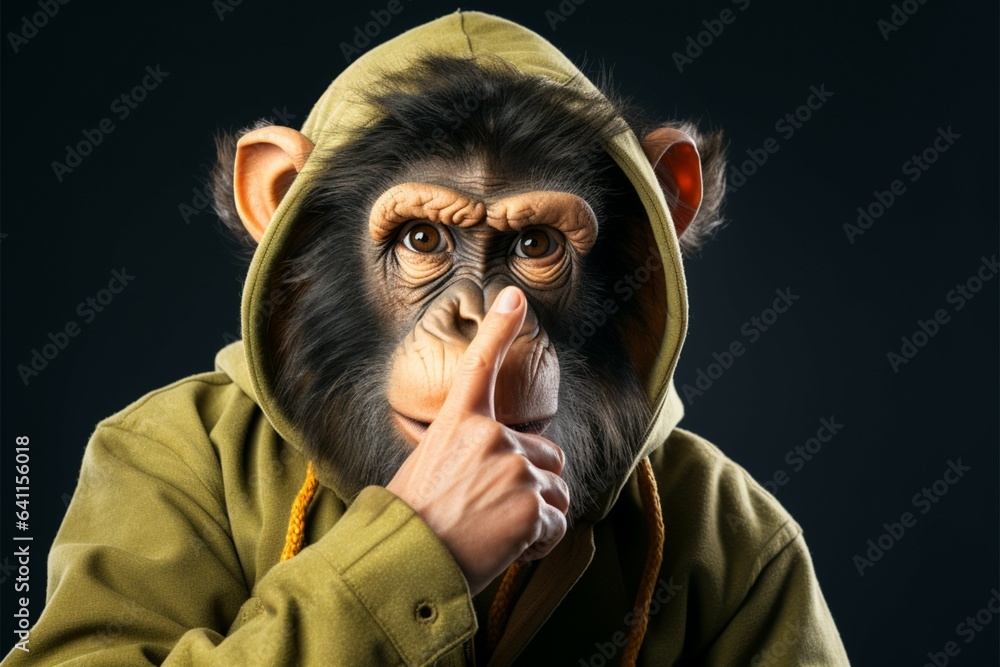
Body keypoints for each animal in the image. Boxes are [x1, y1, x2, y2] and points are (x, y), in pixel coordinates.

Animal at [6, 12, 849, 667]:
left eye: (536, 245)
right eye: (422, 239)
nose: (478, 317)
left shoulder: (768, 534)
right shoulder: (142, 443)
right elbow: (105, 649)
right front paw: (457, 487)